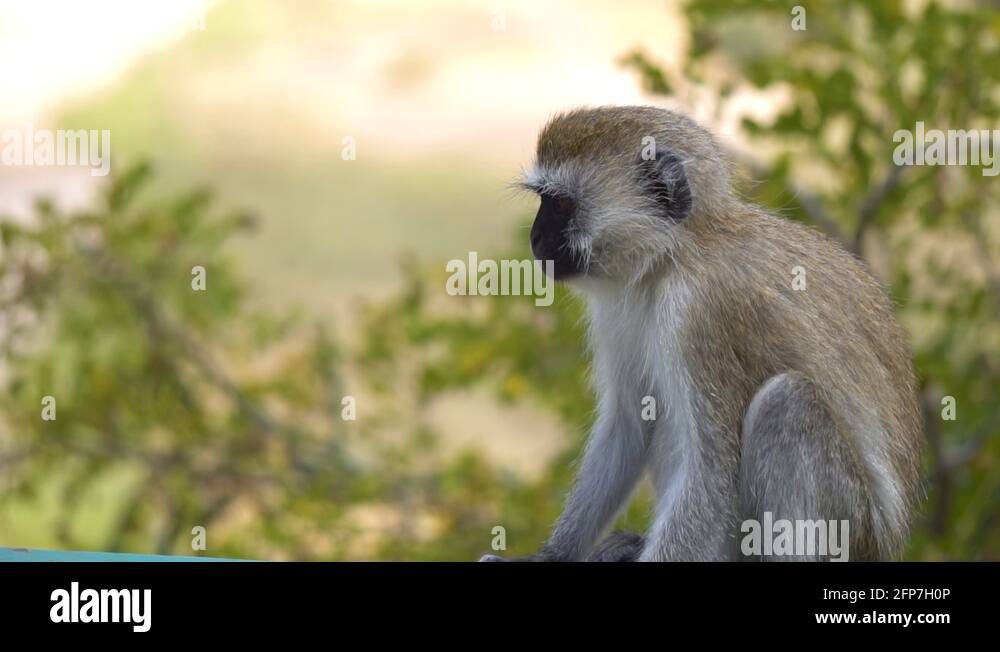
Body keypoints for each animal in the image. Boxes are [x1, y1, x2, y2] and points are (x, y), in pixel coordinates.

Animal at [480, 106, 923, 562]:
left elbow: (711, 472)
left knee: (786, 404)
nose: (535, 238)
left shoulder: (702, 310)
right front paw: (550, 555)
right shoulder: (615, 308)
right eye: (545, 201)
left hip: (854, 529)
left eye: (562, 203)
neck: (671, 257)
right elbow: (628, 424)